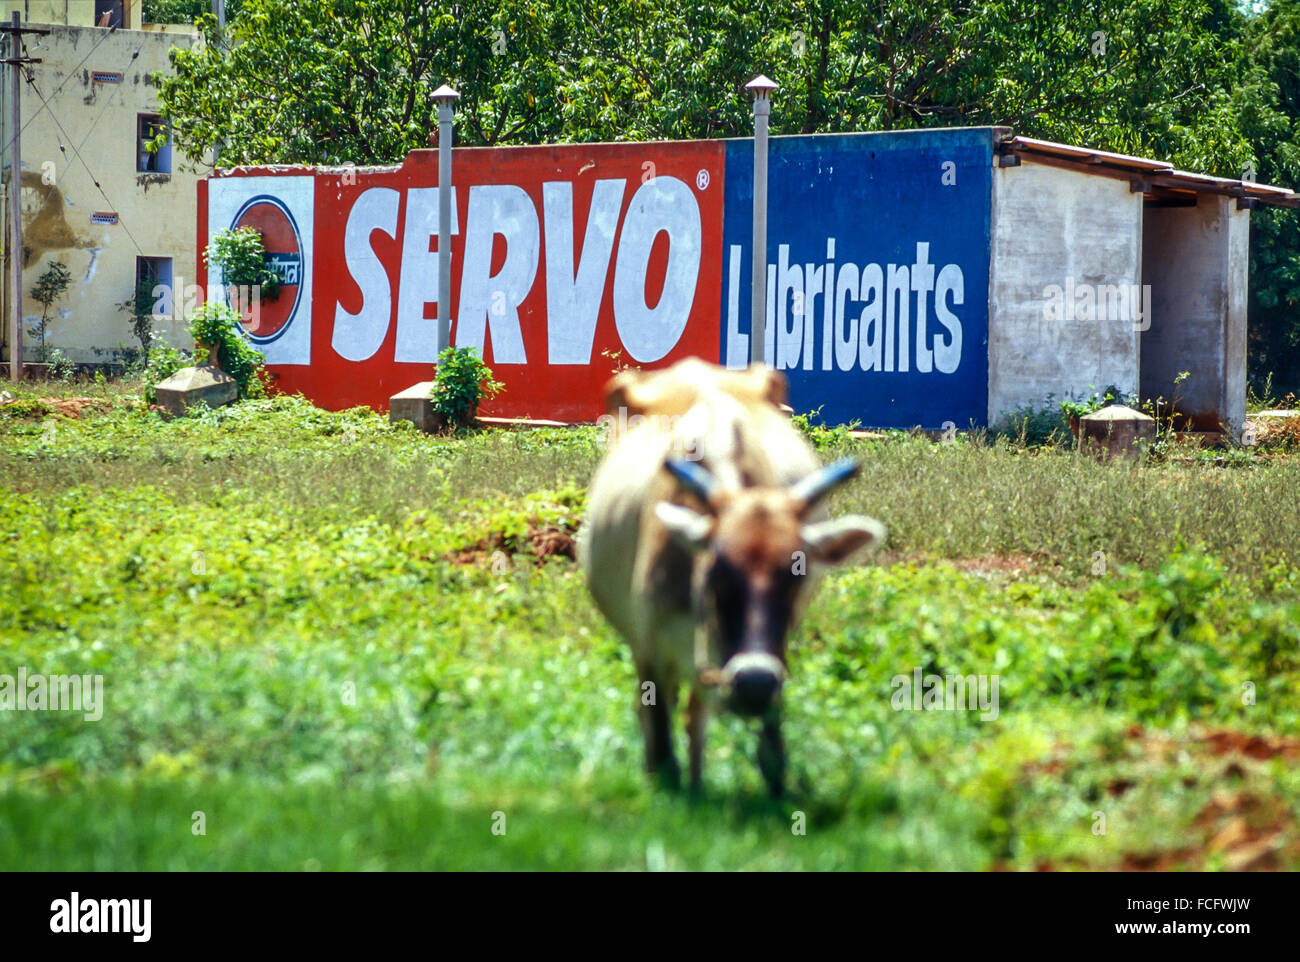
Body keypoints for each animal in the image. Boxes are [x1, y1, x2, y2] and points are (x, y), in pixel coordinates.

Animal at [579, 358, 886, 796]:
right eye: (714, 576)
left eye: (796, 577)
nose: (754, 682)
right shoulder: (650, 650)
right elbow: (661, 743)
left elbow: (770, 751)